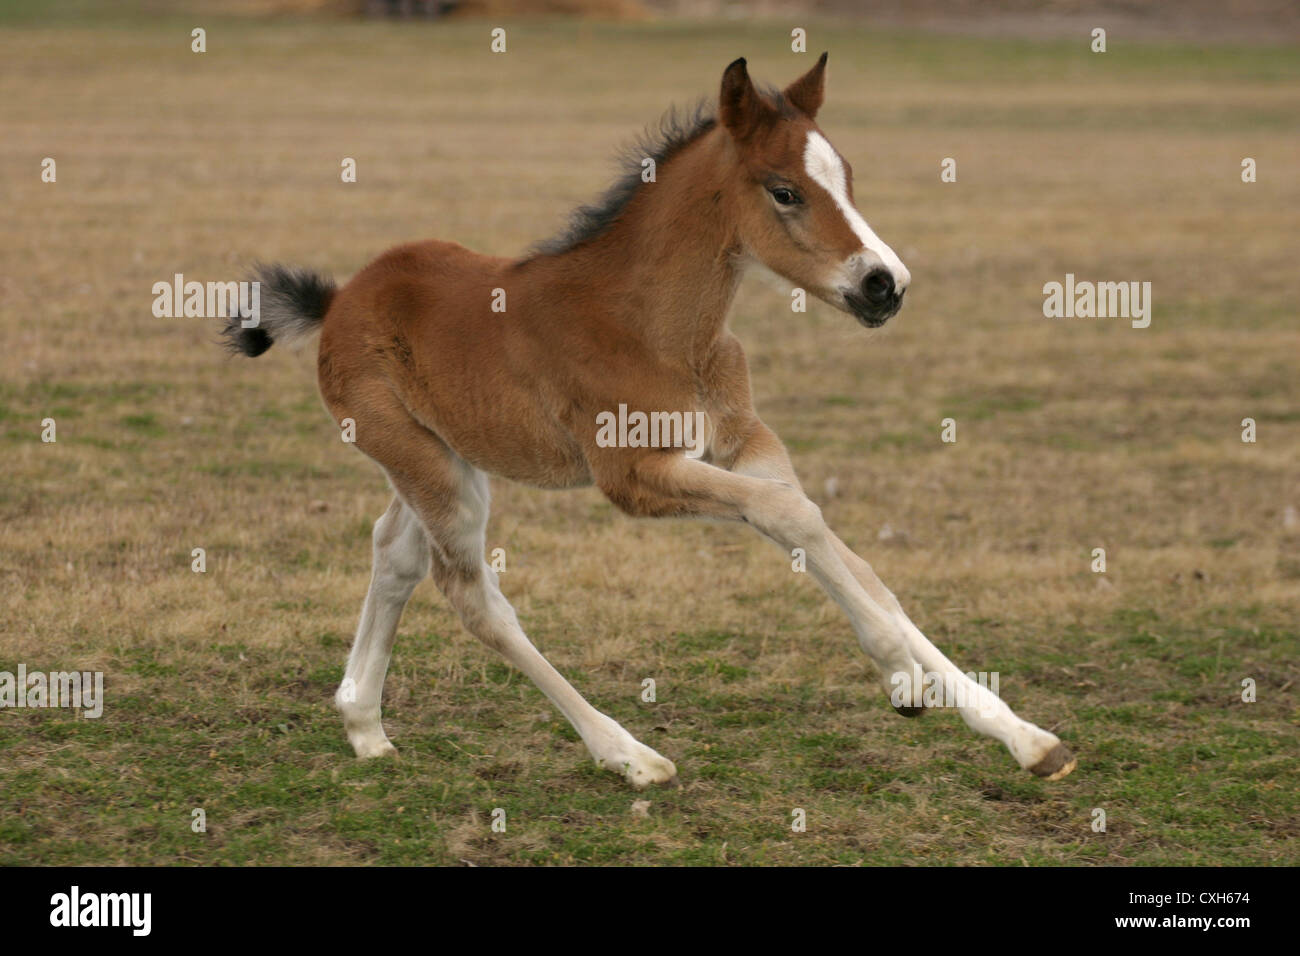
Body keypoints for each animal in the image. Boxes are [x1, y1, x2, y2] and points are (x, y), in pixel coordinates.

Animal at [223, 54, 1076, 788]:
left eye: (848, 180)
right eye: (785, 191)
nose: (884, 285)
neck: (657, 327)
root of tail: (338, 301)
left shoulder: (747, 442)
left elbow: (835, 545)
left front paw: (1019, 734)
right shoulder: (634, 476)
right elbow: (793, 518)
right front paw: (902, 672)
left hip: (440, 458)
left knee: (394, 555)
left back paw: (364, 724)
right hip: (433, 471)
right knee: (469, 595)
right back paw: (627, 753)